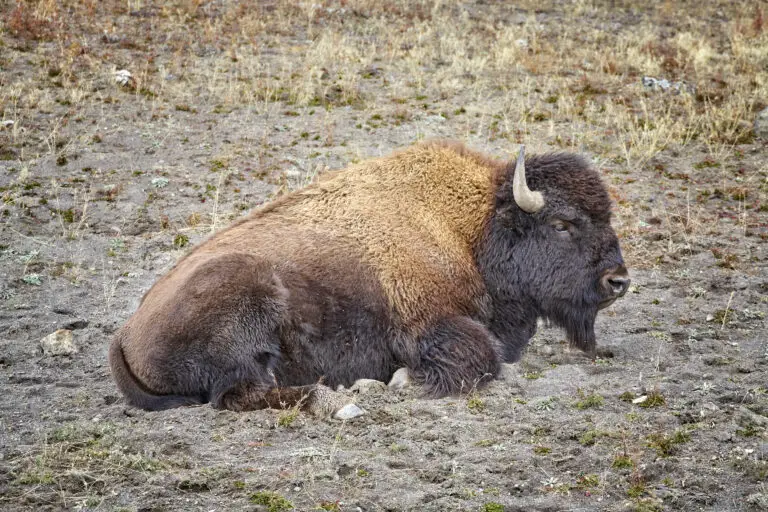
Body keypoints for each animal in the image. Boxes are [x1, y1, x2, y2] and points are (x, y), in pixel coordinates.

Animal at [109, 140, 629, 414]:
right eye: (562, 224)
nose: (618, 282)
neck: (470, 228)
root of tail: (124, 335)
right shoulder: (427, 325)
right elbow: (482, 356)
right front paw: (401, 381)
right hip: (246, 298)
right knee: (237, 395)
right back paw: (332, 393)